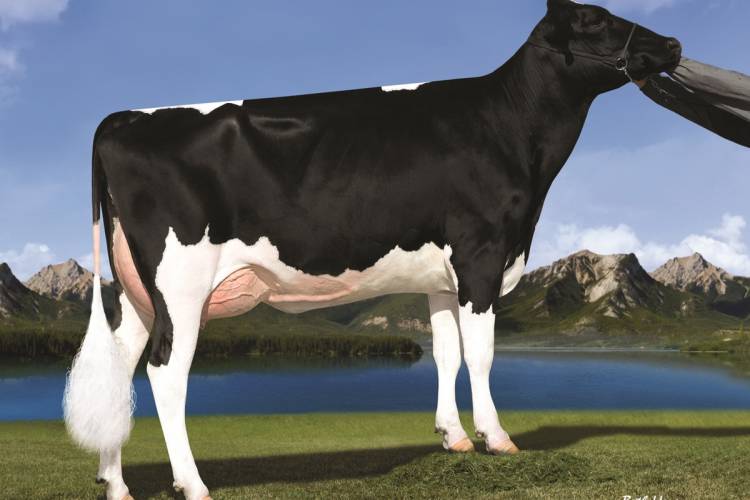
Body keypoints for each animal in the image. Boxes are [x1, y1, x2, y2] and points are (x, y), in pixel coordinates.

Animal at [63, 1, 682, 499]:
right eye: (595, 19)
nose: (674, 44)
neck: (509, 127)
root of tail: (121, 118)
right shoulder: (481, 253)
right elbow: (481, 354)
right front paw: (496, 437)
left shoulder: (442, 275)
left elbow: (446, 353)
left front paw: (454, 437)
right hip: (182, 283)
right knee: (166, 371)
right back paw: (192, 484)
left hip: (139, 291)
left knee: (121, 366)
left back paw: (115, 483)